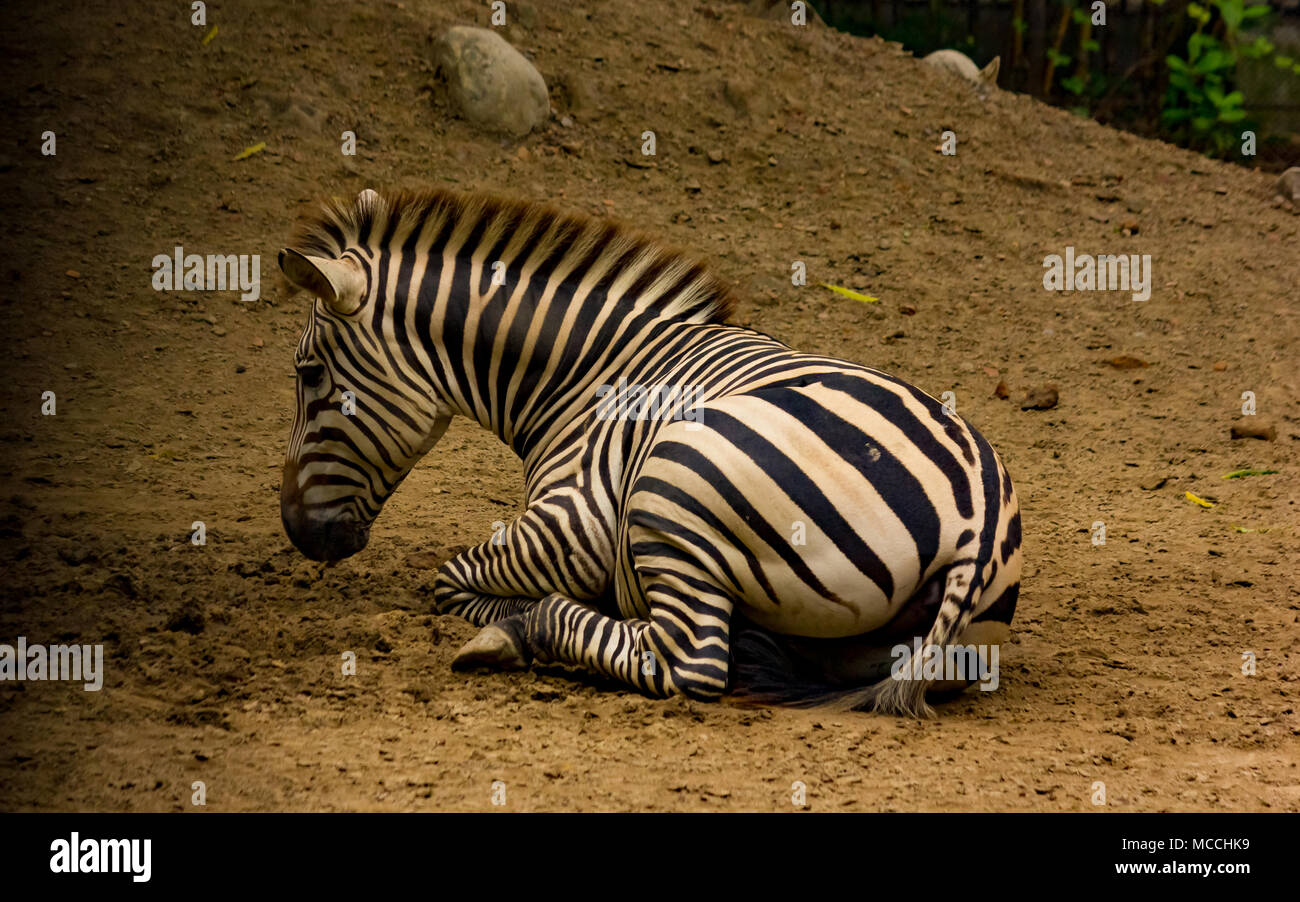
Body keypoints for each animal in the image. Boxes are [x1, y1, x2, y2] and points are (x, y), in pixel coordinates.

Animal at [277, 186, 1023, 717]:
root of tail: (977, 520)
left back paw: (518, 636)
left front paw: (512, 618)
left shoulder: (572, 525)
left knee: (687, 661)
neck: (586, 376)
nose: (296, 531)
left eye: (309, 374)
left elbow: (452, 581)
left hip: (673, 481)